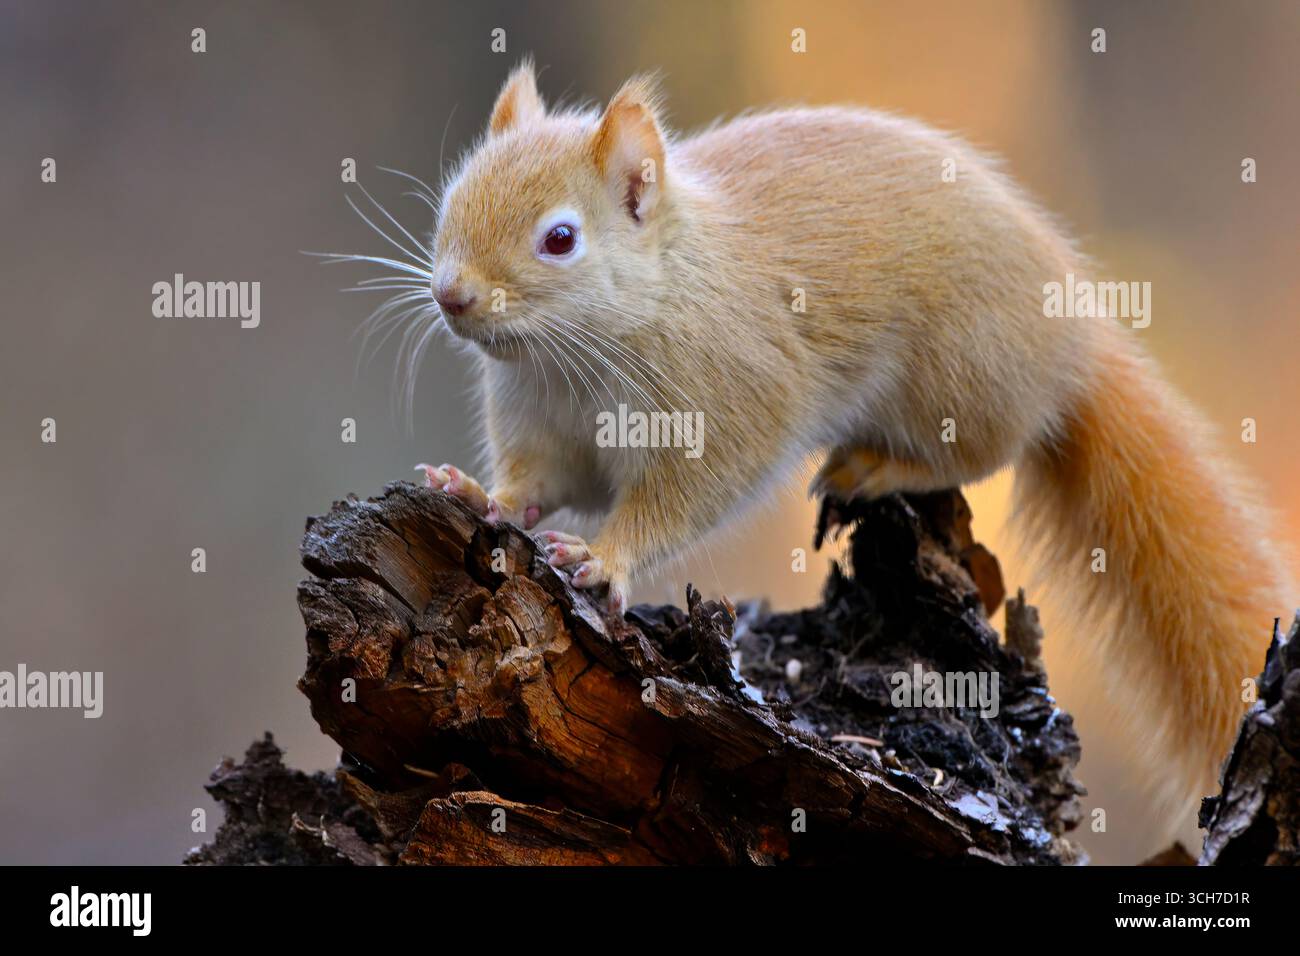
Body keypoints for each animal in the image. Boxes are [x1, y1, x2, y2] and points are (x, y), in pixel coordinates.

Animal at [380, 60, 1293, 828]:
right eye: (453, 195)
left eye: (561, 238)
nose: (451, 296)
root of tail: (1076, 340)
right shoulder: (543, 427)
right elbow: (534, 485)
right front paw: (475, 492)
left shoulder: (728, 403)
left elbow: (680, 498)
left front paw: (605, 557)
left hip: (959, 380)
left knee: (985, 450)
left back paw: (877, 465)